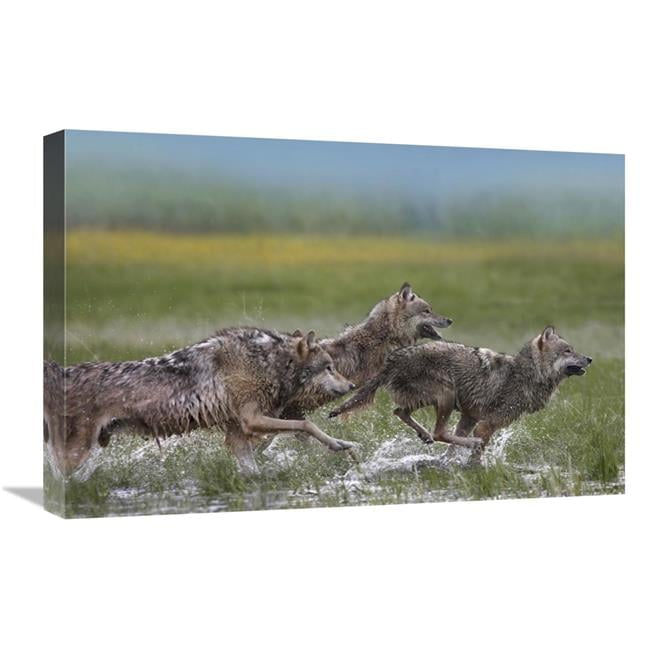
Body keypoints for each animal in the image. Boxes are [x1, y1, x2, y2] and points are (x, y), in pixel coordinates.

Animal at [43, 328, 356, 477]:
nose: (352, 385)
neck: (268, 361)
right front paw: (339, 444)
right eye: (329, 367)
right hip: (75, 452)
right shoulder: (251, 420)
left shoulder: (236, 434)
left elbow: (252, 469)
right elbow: (305, 424)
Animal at [329, 326, 592, 453]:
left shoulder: (469, 417)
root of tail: (392, 359)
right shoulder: (485, 425)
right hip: (445, 395)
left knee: (400, 413)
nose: (589, 358)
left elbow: (453, 449)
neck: (527, 374)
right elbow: (474, 452)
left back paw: (423, 435)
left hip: (432, 400)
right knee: (438, 432)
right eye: (568, 351)